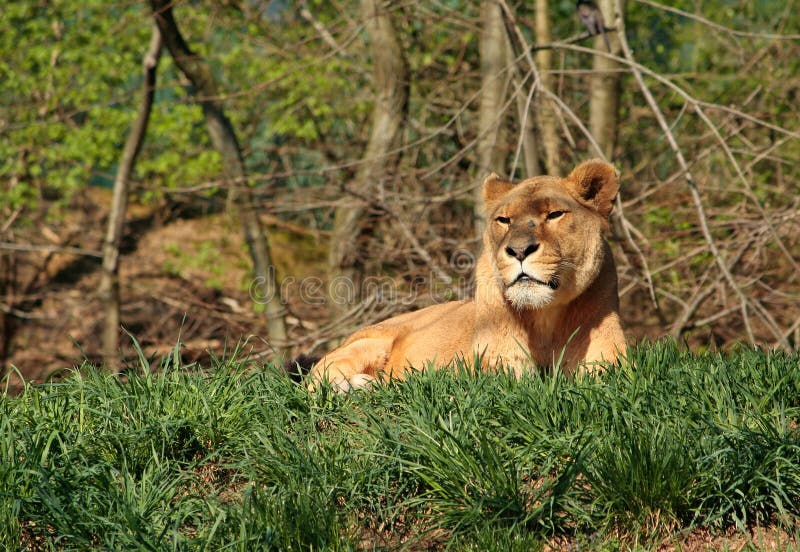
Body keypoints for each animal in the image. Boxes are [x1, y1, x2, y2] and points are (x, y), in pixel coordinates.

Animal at [306, 159, 627, 391]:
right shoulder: (497, 368)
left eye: (555, 214)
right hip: (364, 345)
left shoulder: (608, 364)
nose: (519, 250)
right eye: (504, 220)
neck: (545, 318)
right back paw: (355, 385)